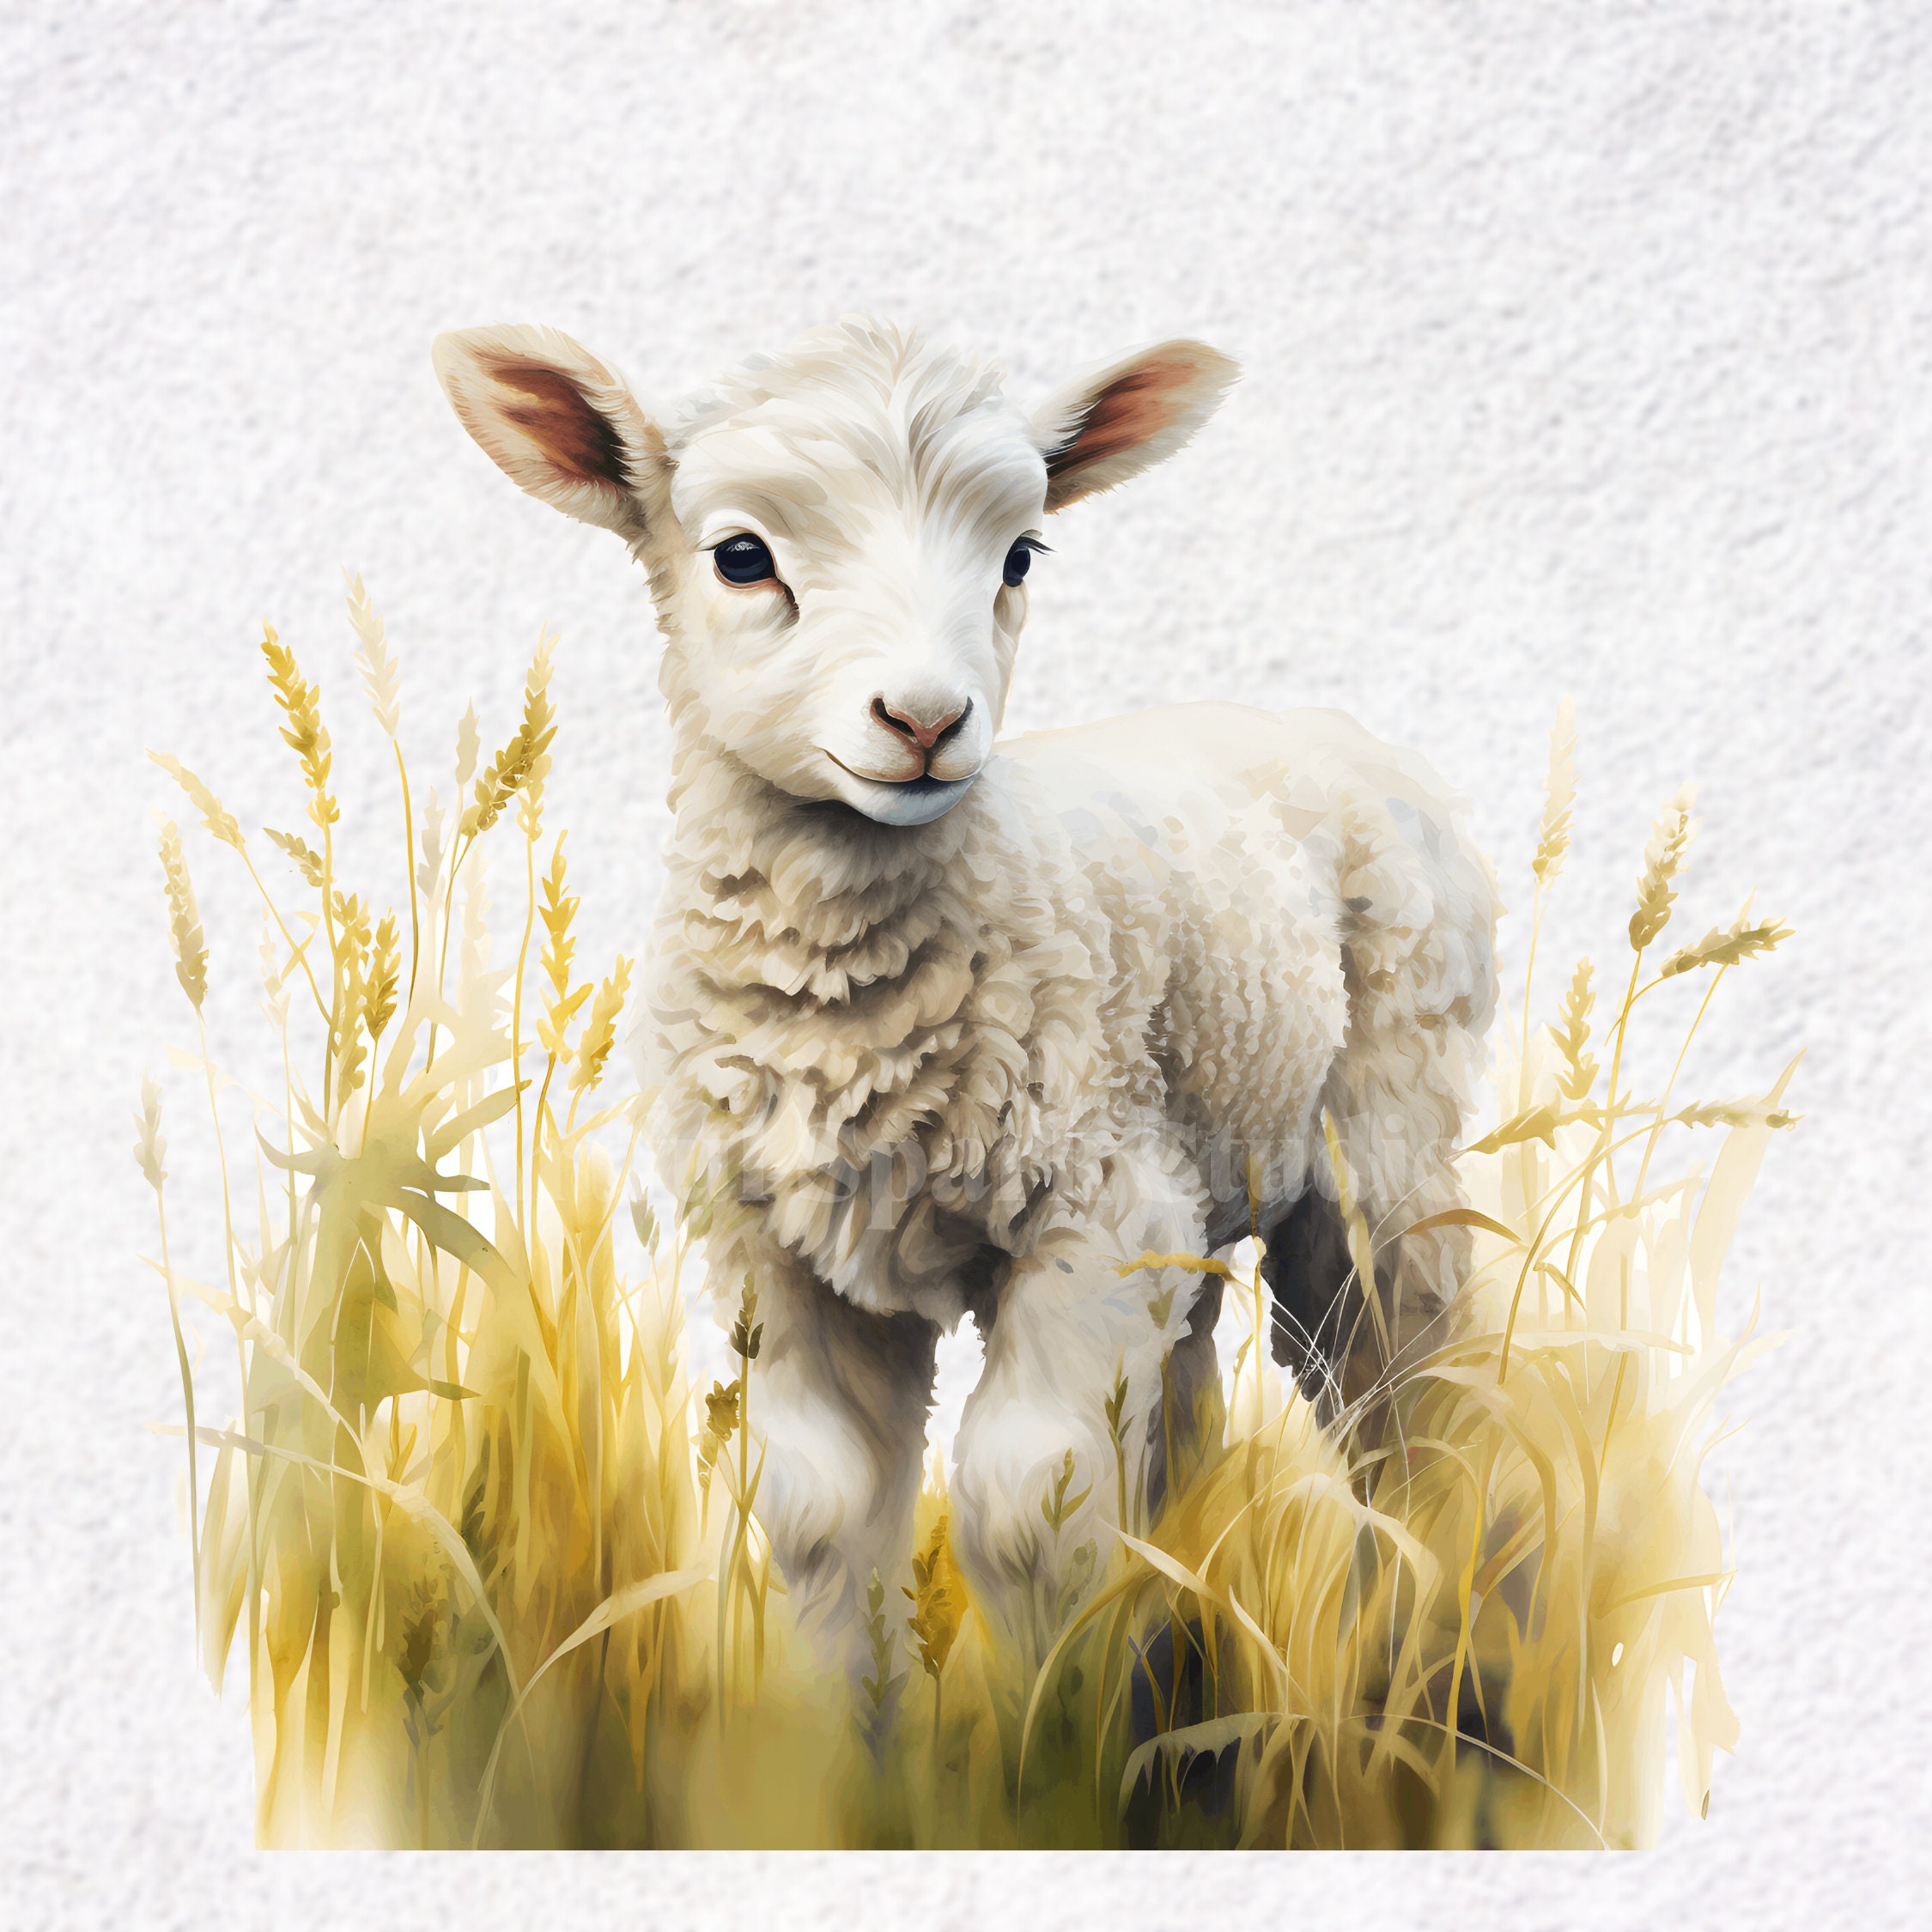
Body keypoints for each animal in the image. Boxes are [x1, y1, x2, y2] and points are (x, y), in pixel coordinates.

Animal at [433, 316, 1500, 1677]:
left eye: (1018, 554)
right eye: (740, 556)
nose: (927, 718)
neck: (852, 1003)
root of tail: (1334, 726)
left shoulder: (1094, 1206)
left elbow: (1025, 1504)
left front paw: (1055, 1720)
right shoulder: (775, 1247)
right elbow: (818, 1510)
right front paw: (843, 1727)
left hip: (1379, 1137)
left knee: (1403, 1386)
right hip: (1203, 1169)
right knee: (1193, 1410)